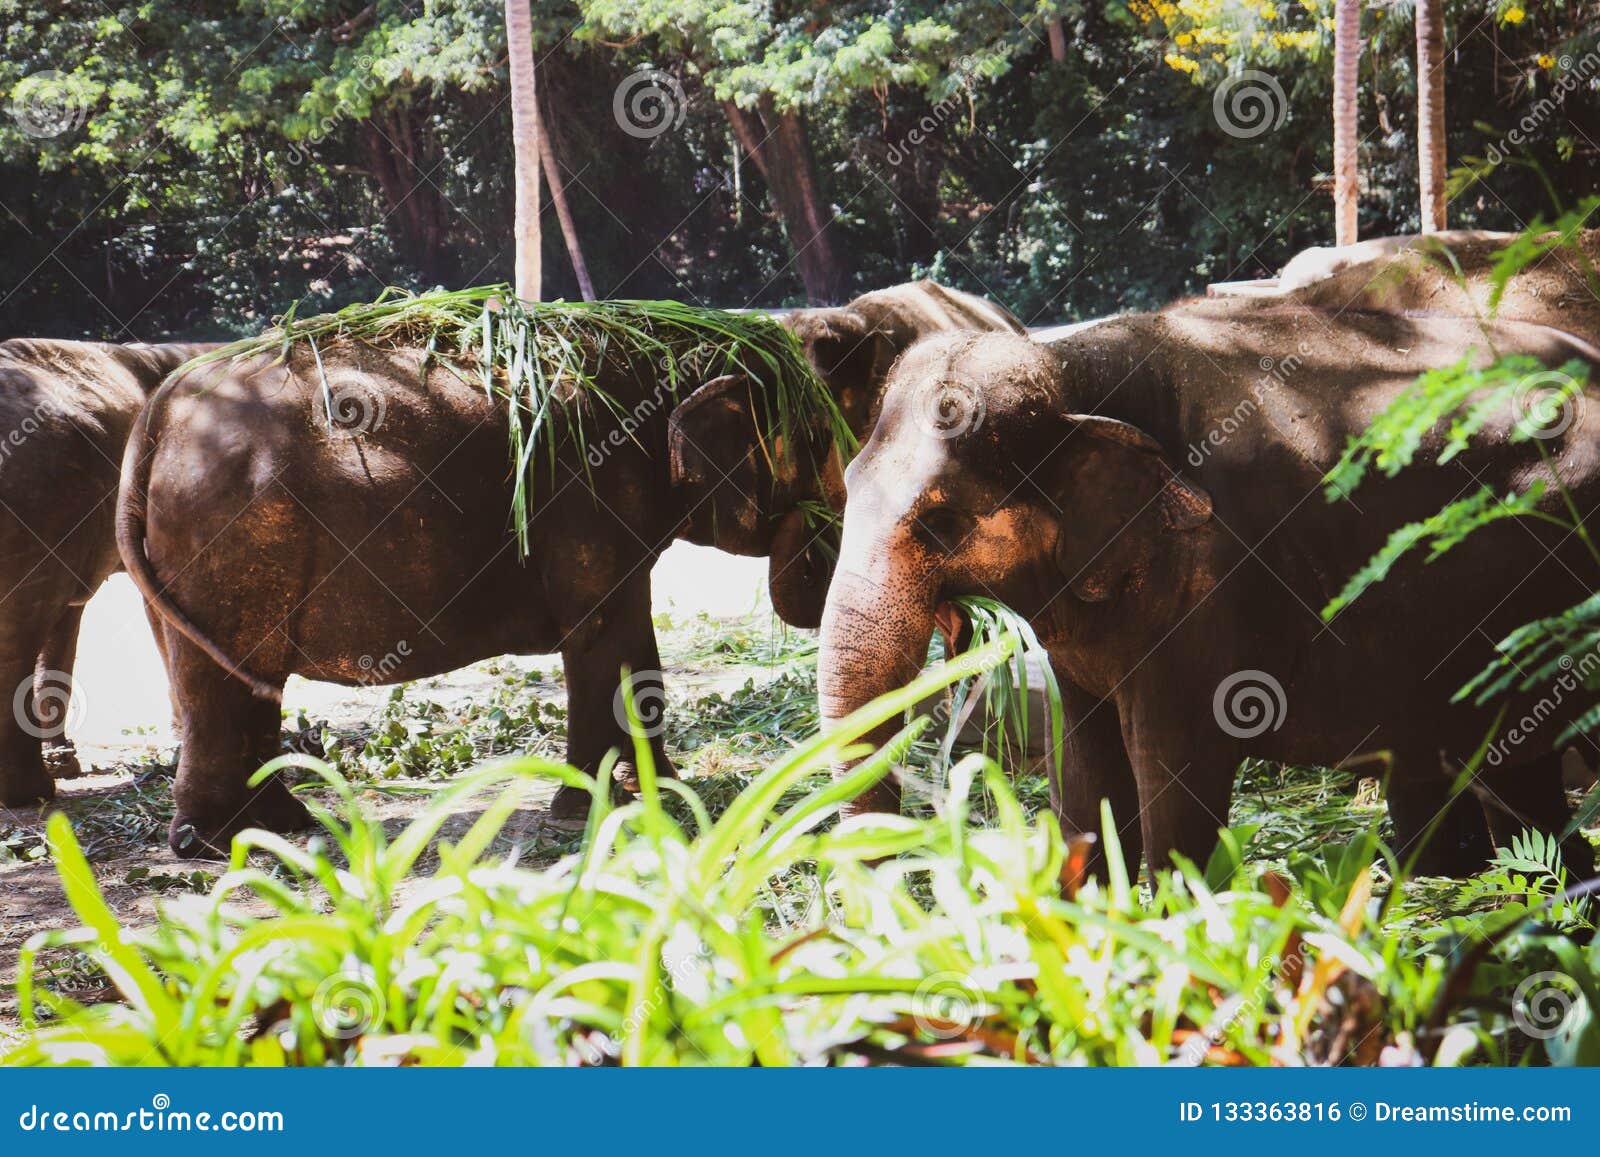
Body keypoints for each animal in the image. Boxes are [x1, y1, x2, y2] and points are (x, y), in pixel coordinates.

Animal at [115, 283, 1023, 856]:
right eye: (841, 457)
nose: (965, 635)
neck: (695, 334)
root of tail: (155, 413)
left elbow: (632, 638)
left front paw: (651, 793)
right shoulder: (584, 492)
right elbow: (602, 635)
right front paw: (587, 809)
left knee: (229, 685)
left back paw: (276, 826)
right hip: (227, 541)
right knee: (225, 684)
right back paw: (219, 843)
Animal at [817, 298, 1600, 879]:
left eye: (941, 520)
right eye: (848, 484)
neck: (1067, 363)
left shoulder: (1217, 583)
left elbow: (1178, 775)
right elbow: (1087, 773)